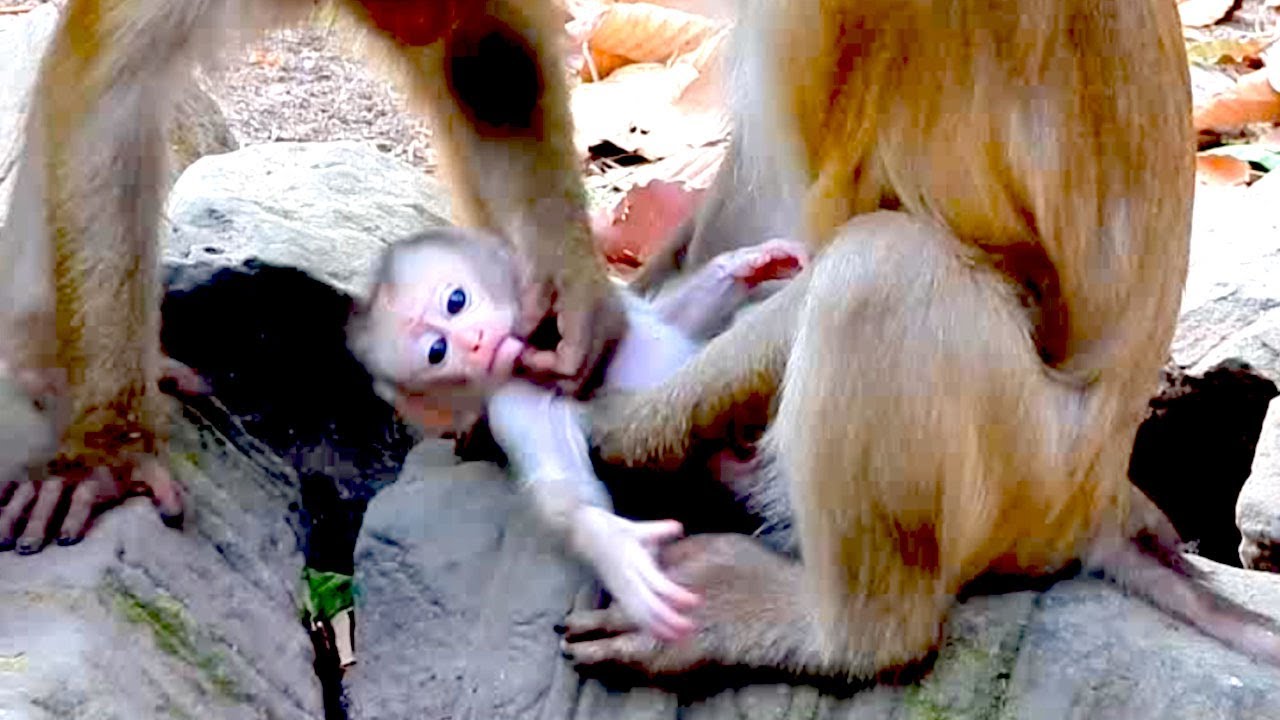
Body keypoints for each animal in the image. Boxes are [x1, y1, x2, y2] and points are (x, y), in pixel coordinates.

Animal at [0, 0, 628, 554]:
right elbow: (112, 90)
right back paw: (41, 352)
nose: (424, 16)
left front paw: (569, 298)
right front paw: (106, 448)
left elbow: (488, 58)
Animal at [346, 226, 806, 641]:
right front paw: (613, 545)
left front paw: (747, 265)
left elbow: (668, 317)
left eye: (455, 301)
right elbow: (562, 488)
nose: (476, 342)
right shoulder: (514, 398)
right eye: (437, 352)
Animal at [554, 0, 1280, 679]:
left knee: (882, 268)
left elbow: (999, 261)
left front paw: (634, 424)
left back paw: (839, 631)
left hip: (1030, 475)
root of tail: (1101, 496)